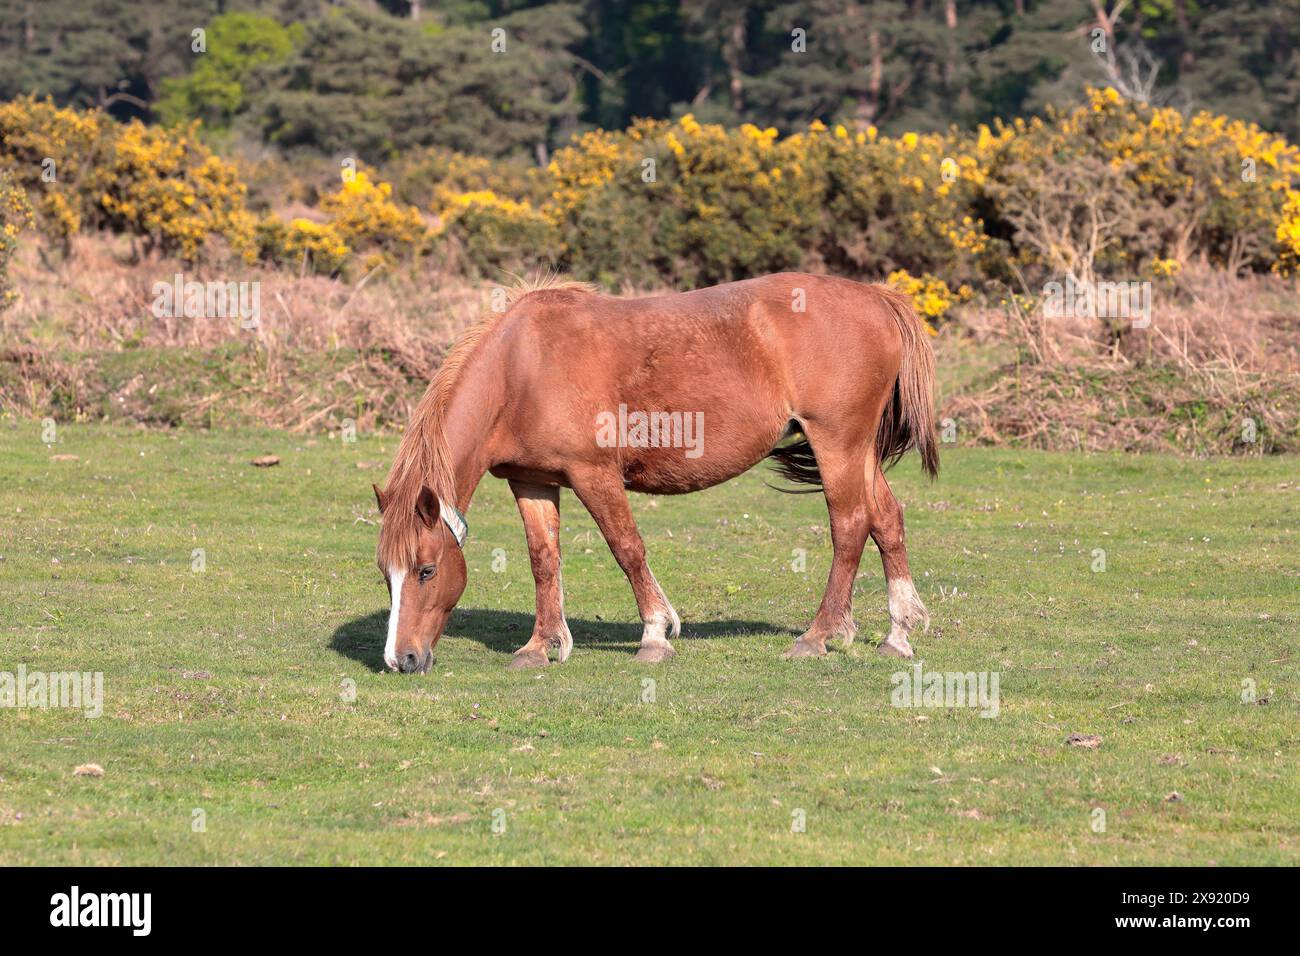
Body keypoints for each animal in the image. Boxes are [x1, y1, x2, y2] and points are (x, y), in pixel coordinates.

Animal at [373, 272, 937, 674]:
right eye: (386, 575)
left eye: (426, 570)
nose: (402, 660)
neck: (522, 369)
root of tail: (877, 298)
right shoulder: (532, 481)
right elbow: (543, 561)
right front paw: (540, 645)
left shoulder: (594, 475)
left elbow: (627, 549)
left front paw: (654, 634)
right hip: (857, 451)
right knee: (886, 520)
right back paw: (897, 634)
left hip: (836, 444)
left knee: (850, 527)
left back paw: (818, 636)